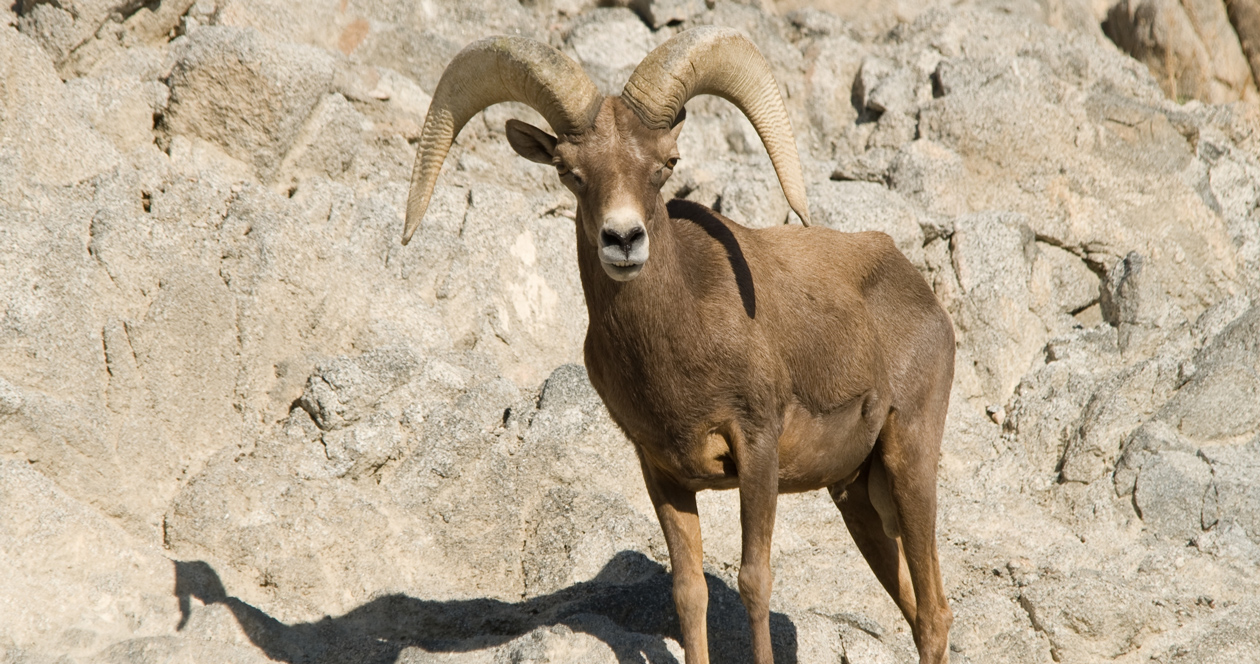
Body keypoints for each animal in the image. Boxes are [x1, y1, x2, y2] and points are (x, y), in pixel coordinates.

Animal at [399, 26, 955, 664]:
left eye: (666, 165)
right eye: (569, 171)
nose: (623, 239)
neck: (681, 344)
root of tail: (918, 288)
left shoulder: (757, 449)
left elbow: (754, 581)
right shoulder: (661, 471)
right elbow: (688, 592)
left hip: (909, 460)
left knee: (934, 613)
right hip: (857, 498)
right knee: (915, 608)